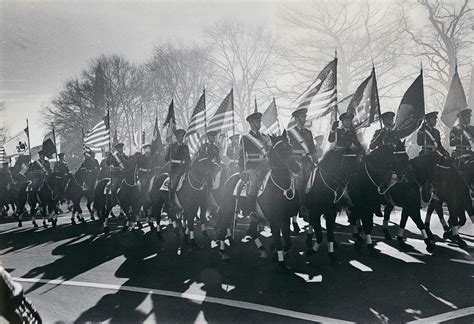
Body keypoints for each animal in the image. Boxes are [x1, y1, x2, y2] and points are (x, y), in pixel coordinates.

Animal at [215, 130, 300, 270]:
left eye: (291, 147)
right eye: (280, 150)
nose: (297, 166)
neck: (280, 187)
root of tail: (229, 178)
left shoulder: (285, 218)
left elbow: (287, 242)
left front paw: (276, 256)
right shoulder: (274, 219)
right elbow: (279, 242)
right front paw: (281, 264)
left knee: (253, 231)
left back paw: (262, 250)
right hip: (227, 210)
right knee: (223, 227)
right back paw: (223, 253)